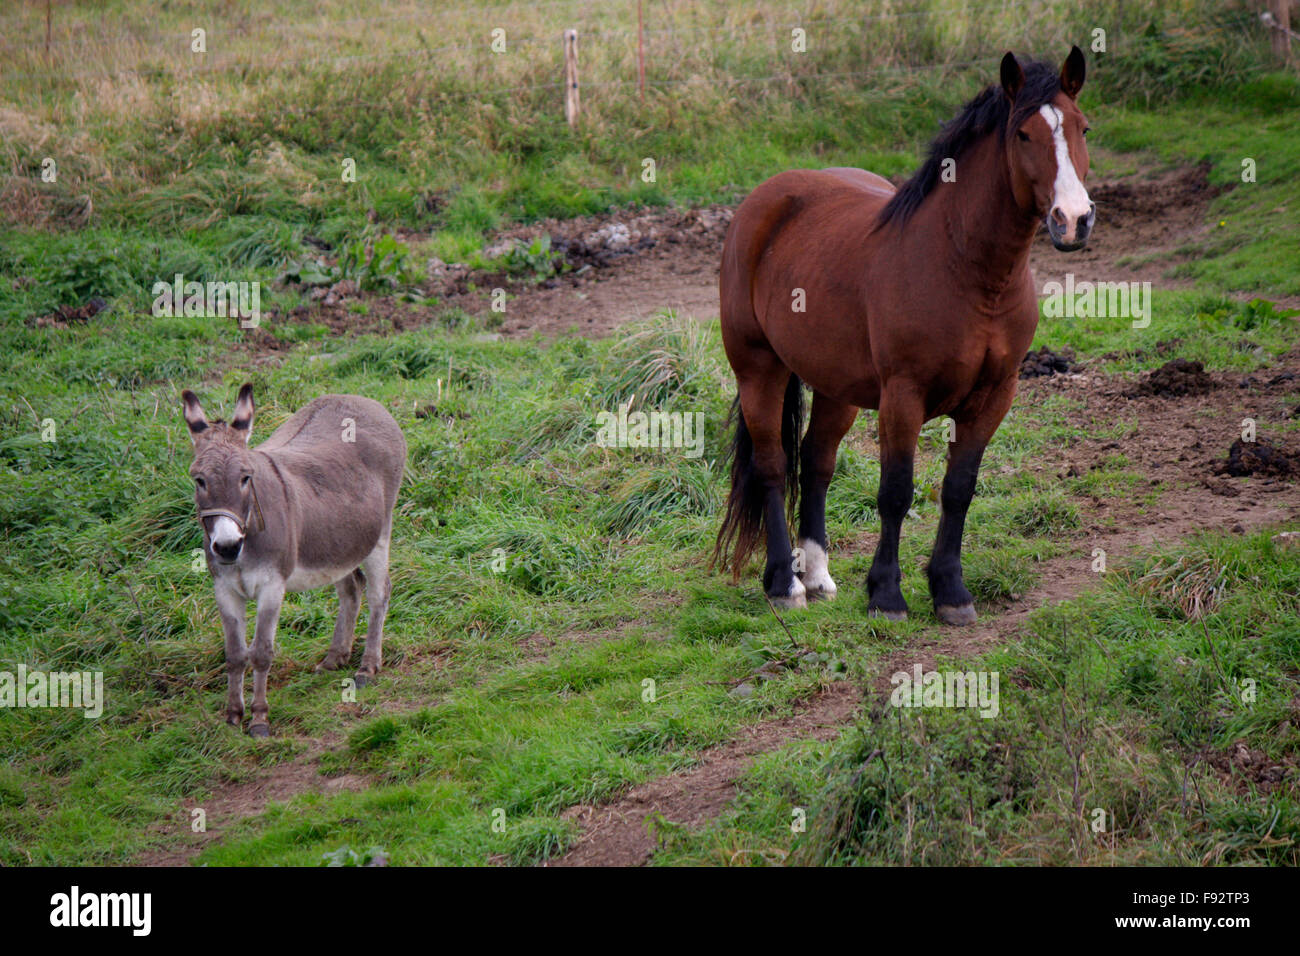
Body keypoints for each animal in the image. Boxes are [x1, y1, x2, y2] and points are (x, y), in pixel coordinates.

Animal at [182, 384, 406, 735]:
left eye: (246, 477)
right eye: (199, 480)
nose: (228, 547)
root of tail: (363, 400)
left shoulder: (272, 586)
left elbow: (261, 652)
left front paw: (259, 719)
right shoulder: (224, 589)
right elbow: (234, 654)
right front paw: (233, 715)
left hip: (379, 534)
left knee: (379, 593)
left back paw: (368, 667)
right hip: (338, 546)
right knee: (351, 590)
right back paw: (334, 658)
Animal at [714, 48, 1094, 624]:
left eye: (1082, 128)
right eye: (1024, 135)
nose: (1073, 220)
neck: (967, 269)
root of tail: (764, 202)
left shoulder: (994, 396)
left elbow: (959, 489)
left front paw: (951, 591)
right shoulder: (903, 395)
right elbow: (896, 491)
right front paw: (887, 594)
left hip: (836, 385)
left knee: (816, 461)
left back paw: (817, 574)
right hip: (759, 368)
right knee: (773, 466)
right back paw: (785, 583)